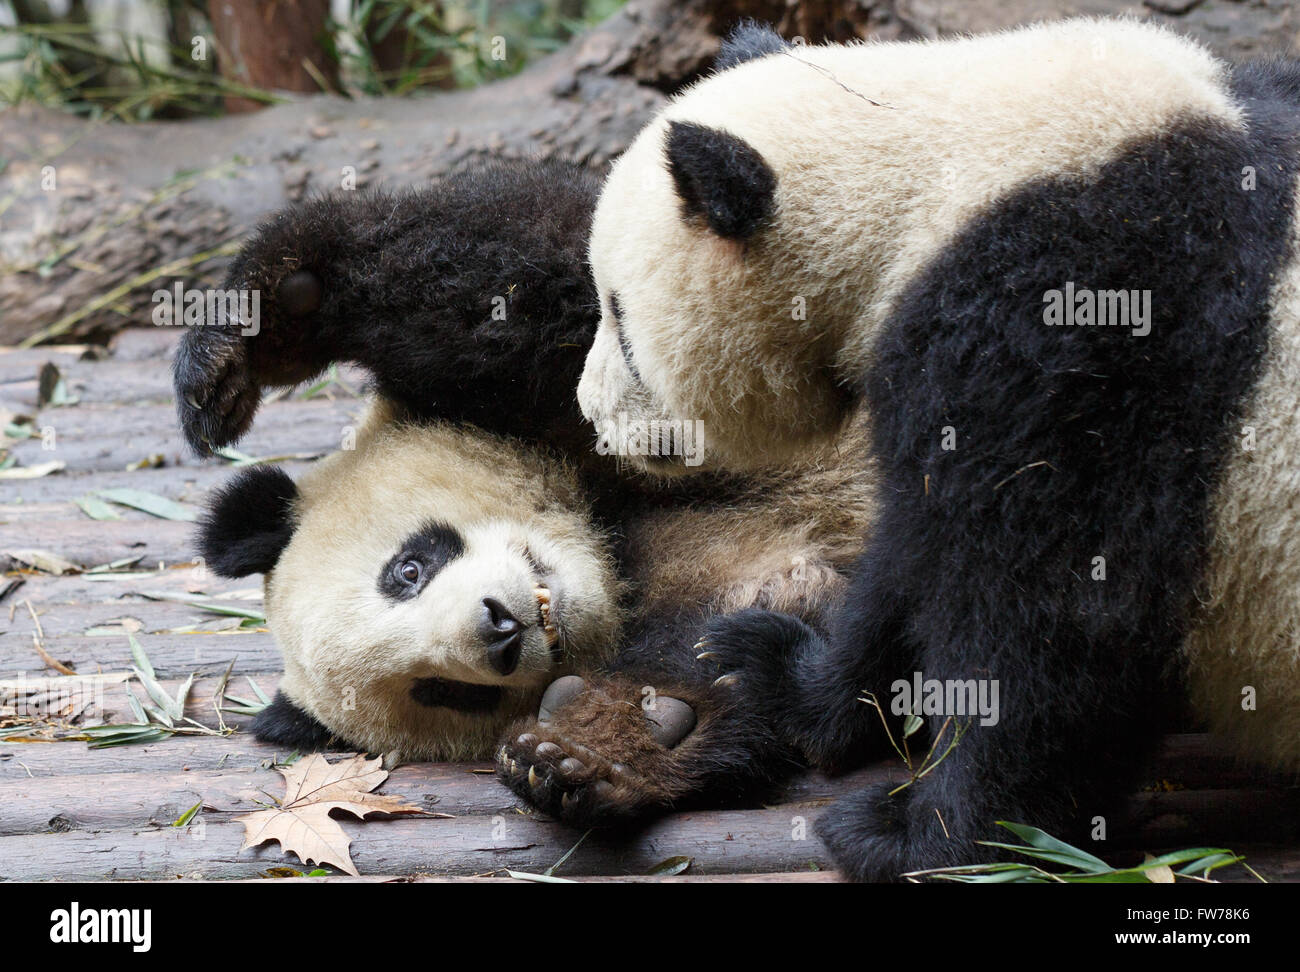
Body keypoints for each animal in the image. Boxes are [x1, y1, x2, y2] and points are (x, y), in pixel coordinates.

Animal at [177, 157, 876, 820]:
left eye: (408, 569)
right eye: (443, 690)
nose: (501, 631)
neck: (608, 531)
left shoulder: (540, 385)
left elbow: (502, 272)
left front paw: (253, 330)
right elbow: (722, 671)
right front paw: (586, 751)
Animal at [576, 19, 1300, 878]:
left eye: (620, 317)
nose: (590, 413)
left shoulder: (1082, 325)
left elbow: (1051, 604)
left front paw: (934, 836)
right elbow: (907, 555)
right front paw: (775, 670)